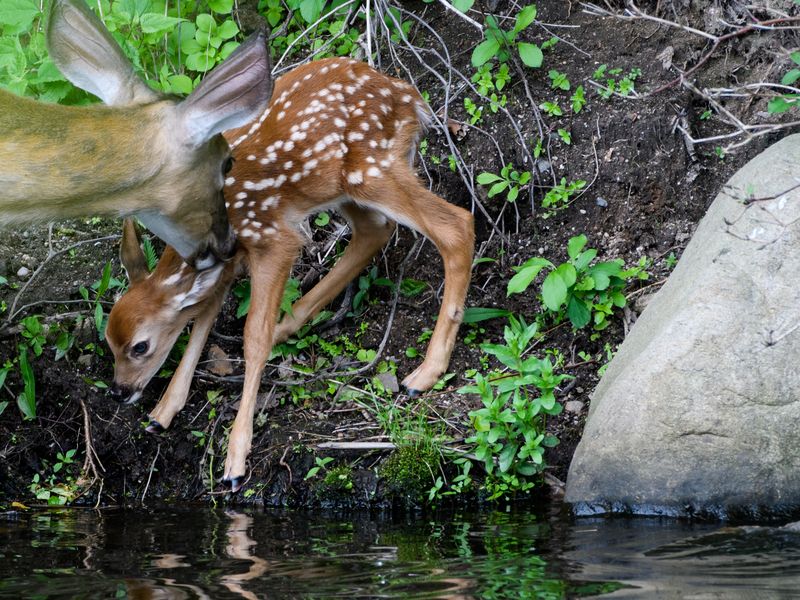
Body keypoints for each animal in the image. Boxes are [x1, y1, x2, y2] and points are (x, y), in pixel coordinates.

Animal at [105, 57, 475, 492]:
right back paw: (292, 323)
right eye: (109, 343)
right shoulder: (231, 258)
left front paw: (235, 458)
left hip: (372, 169)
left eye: (140, 346)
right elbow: (201, 315)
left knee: (455, 225)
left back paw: (425, 372)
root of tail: (409, 95)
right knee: (374, 231)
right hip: (339, 186)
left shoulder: (271, 238)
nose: (119, 390)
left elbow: (252, 335)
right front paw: (163, 412)